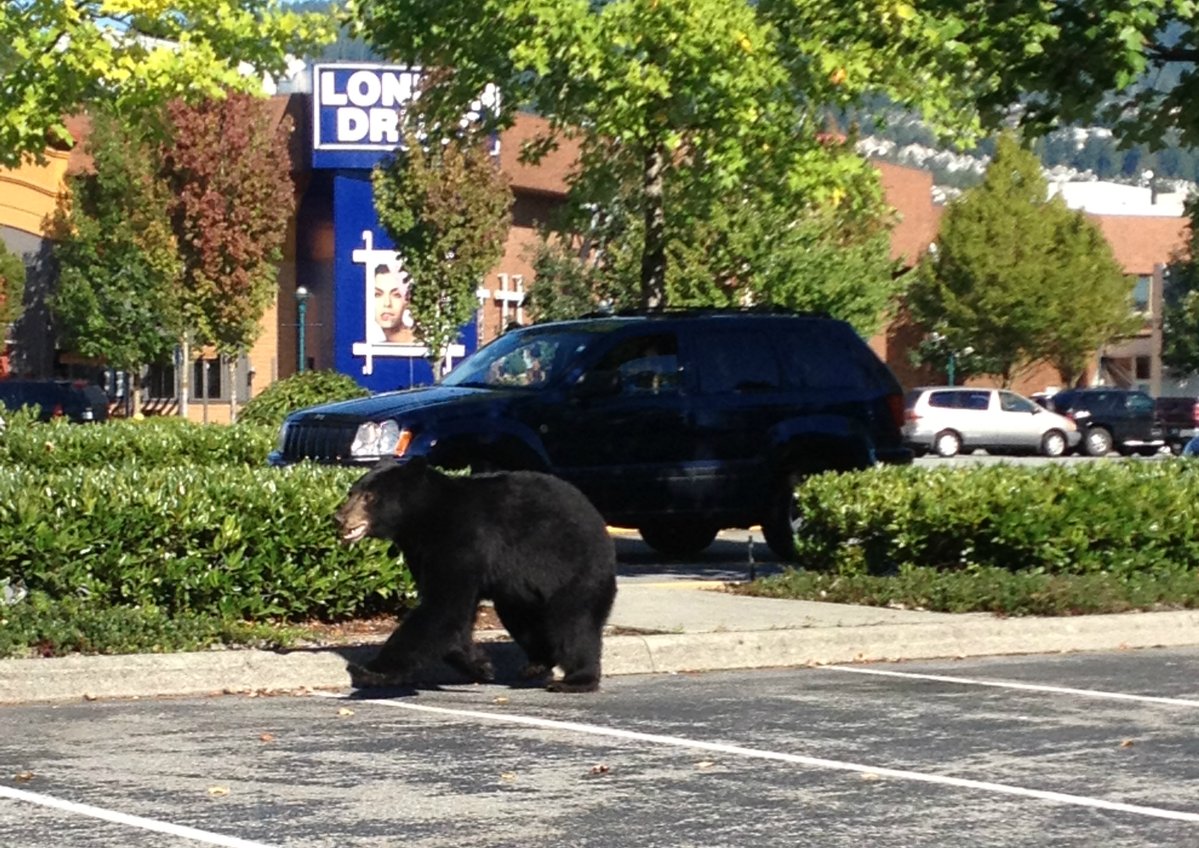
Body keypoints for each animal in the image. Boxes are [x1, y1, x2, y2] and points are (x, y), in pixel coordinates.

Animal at [334, 457, 617, 693]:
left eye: (369, 496)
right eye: (351, 492)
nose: (339, 518)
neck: (423, 518)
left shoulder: (463, 539)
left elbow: (442, 608)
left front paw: (368, 671)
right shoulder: (421, 552)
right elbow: (452, 615)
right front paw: (480, 665)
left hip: (574, 570)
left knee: (573, 623)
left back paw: (577, 679)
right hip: (519, 590)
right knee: (523, 619)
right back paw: (537, 663)